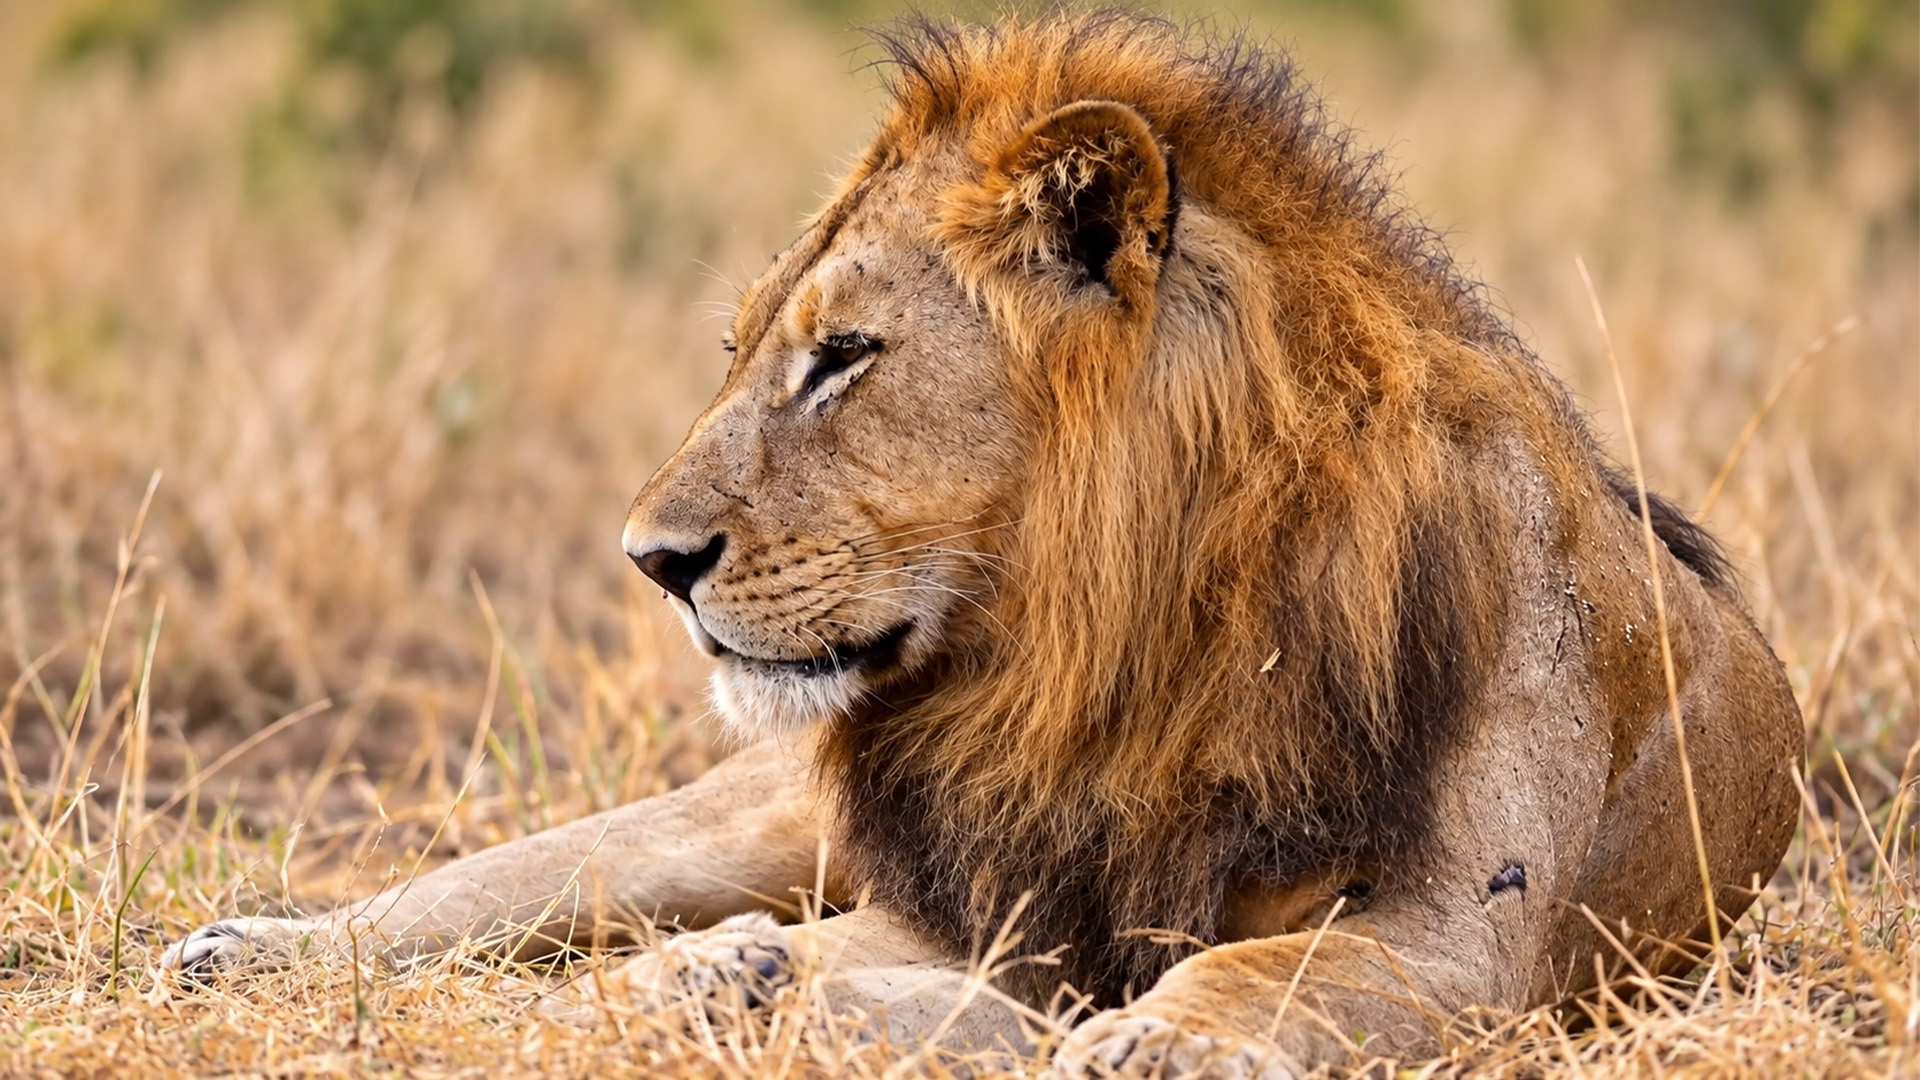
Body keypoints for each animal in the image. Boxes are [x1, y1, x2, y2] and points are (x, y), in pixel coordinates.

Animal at [162, 14, 1804, 1076]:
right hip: (747, 827)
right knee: (510, 893)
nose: (650, 559)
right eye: (742, 348)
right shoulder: (997, 901)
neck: (1113, 649)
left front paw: (1154, 1047)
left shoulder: (1465, 940)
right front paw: (739, 988)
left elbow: (1265, 970)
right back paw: (255, 950)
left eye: (844, 356)